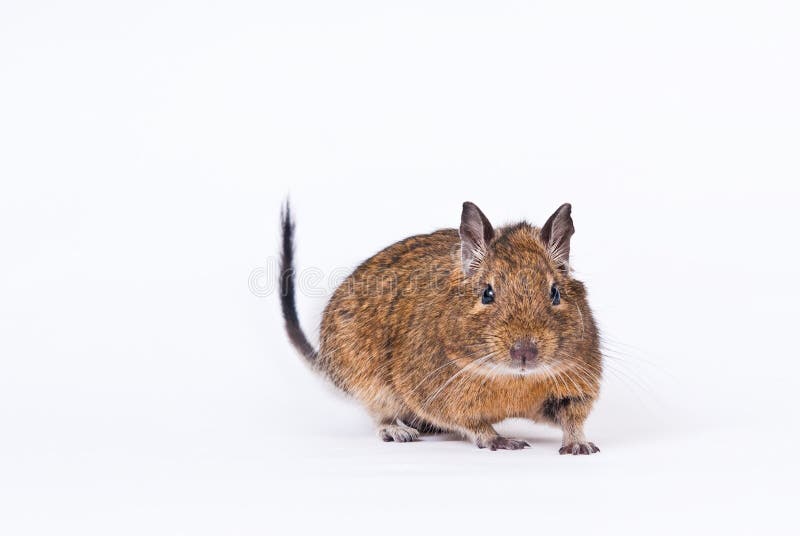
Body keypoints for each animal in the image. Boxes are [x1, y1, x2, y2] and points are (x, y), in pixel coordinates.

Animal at [279, 201, 602, 453]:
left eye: (555, 293)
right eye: (487, 293)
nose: (525, 352)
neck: (514, 379)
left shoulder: (577, 381)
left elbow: (573, 418)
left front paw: (579, 444)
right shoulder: (436, 396)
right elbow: (471, 423)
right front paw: (498, 440)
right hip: (367, 381)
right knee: (380, 414)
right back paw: (398, 430)